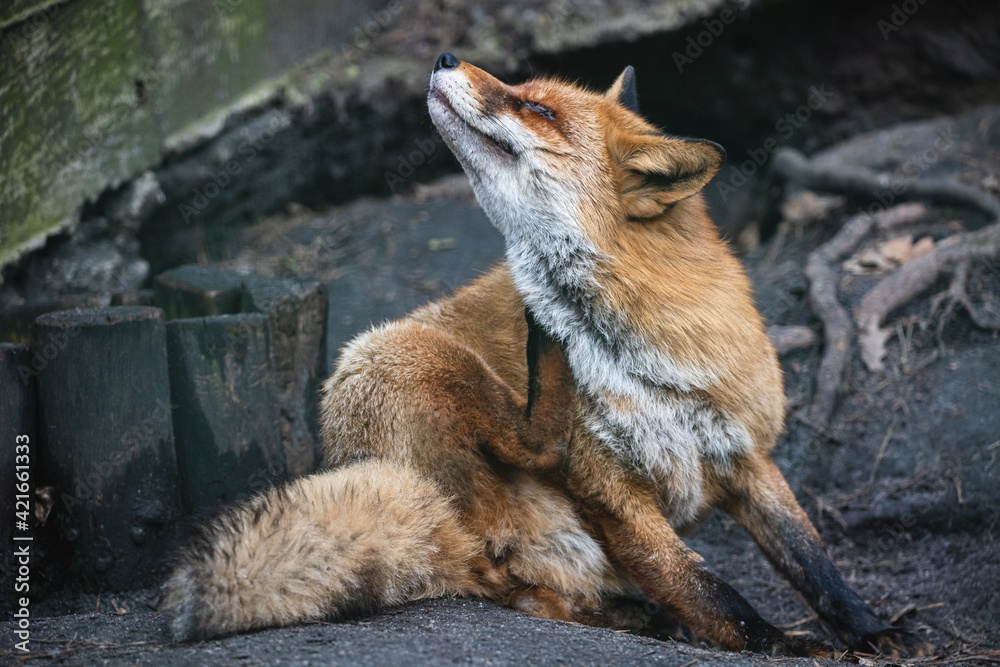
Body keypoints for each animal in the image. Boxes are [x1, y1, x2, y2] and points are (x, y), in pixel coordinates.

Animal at [162, 53, 930, 658]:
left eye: (535, 107)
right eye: (522, 90)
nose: (445, 56)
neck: (642, 358)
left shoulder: (746, 453)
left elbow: (812, 561)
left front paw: (870, 631)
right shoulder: (612, 489)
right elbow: (711, 589)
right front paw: (781, 644)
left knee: (542, 591)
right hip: (392, 352)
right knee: (516, 539)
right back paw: (548, 361)